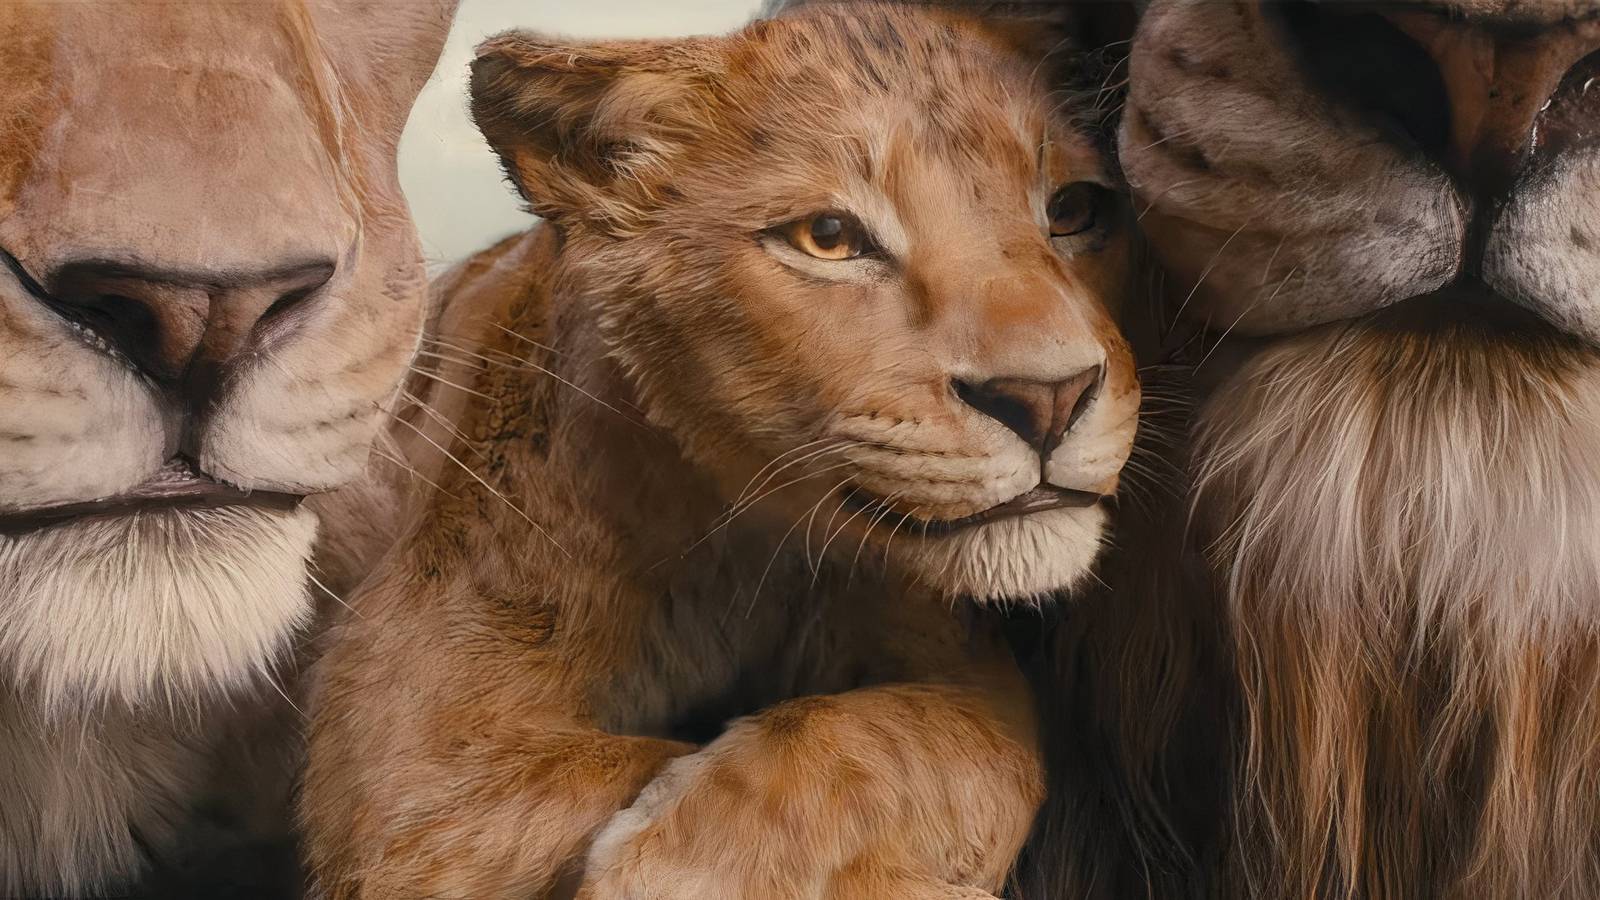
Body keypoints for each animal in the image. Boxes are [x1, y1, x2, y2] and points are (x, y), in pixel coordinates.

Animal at [299, 6, 1139, 898]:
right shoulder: (408, 761)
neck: (745, 545)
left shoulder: (966, 671)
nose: (1049, 400)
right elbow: (619, 762)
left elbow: (935, 743)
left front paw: (695, 854)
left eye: (1075, 209)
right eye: (828, 237)